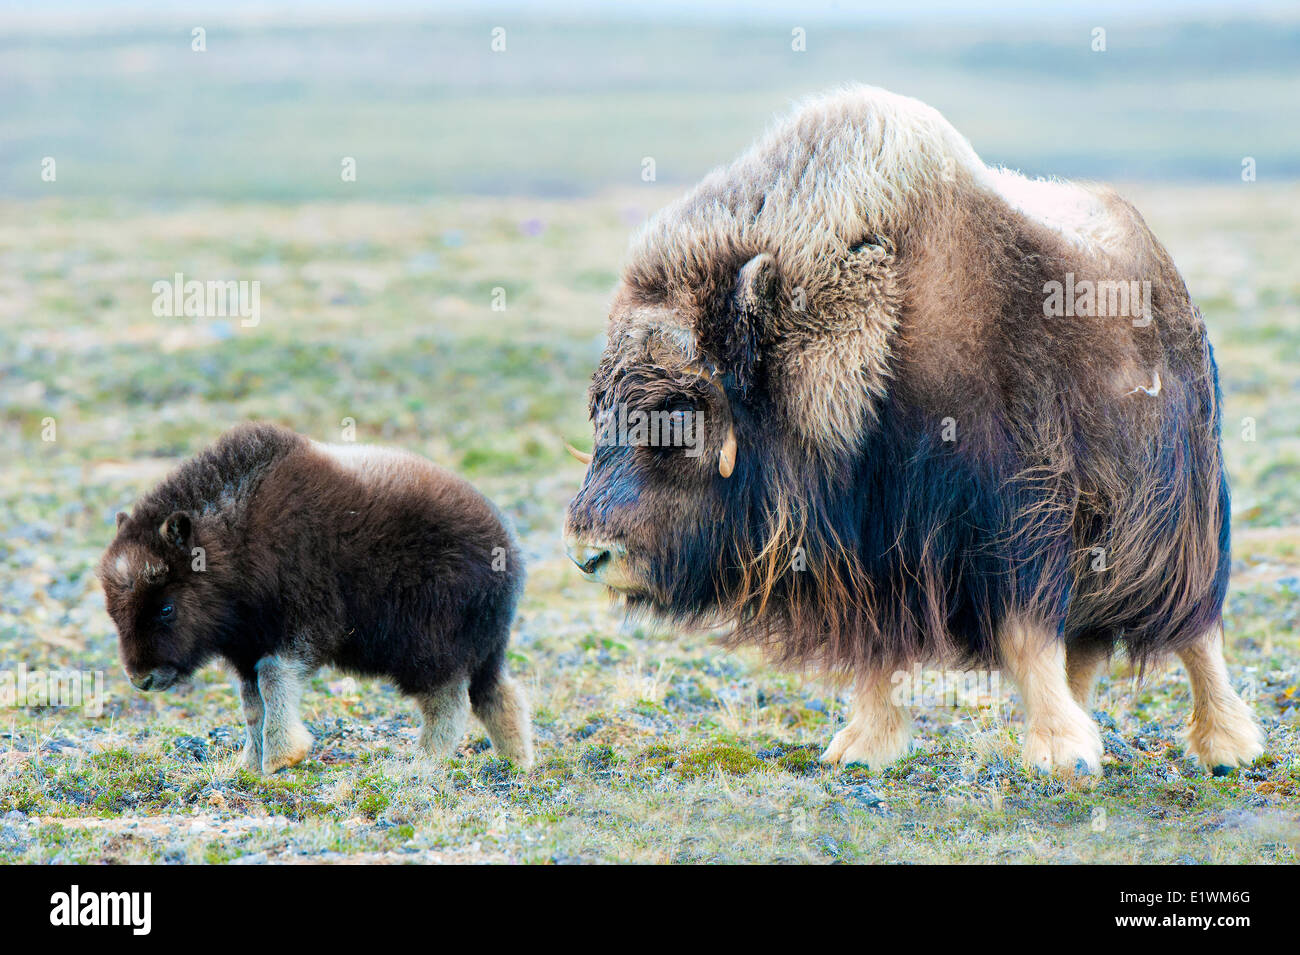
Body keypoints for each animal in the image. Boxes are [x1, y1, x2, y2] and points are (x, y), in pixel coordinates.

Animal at [562, 85, 1263, 777]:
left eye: (682, 410)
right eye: (602, 408)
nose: (586, 552)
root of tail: (1167, 277)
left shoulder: (1015, 516)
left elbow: (1024, 633)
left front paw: (1058, 752)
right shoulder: (873, 546)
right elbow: (880, 647)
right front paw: (860, 748)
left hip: (1178, 523)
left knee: (1197, 632)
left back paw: (1226, 744)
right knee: (1087, 646)